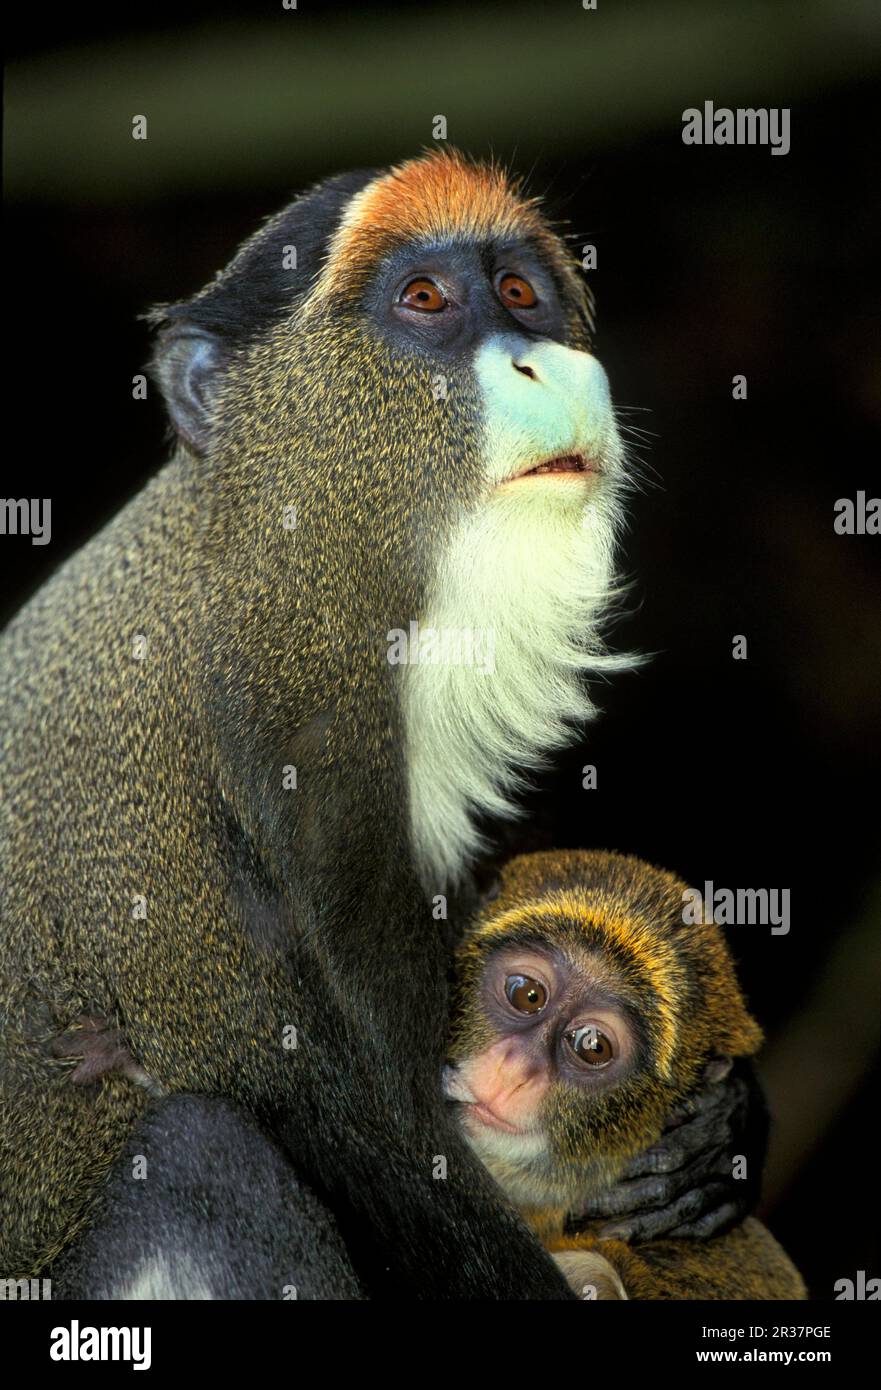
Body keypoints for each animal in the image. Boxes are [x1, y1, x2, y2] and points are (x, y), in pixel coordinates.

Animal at [0, 149, 763, 1297]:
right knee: (196, 1156)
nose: (538, 361)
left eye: (519, 292)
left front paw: (715, 1134)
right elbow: (387, 1142)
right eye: (425, 301)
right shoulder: (275, 727)